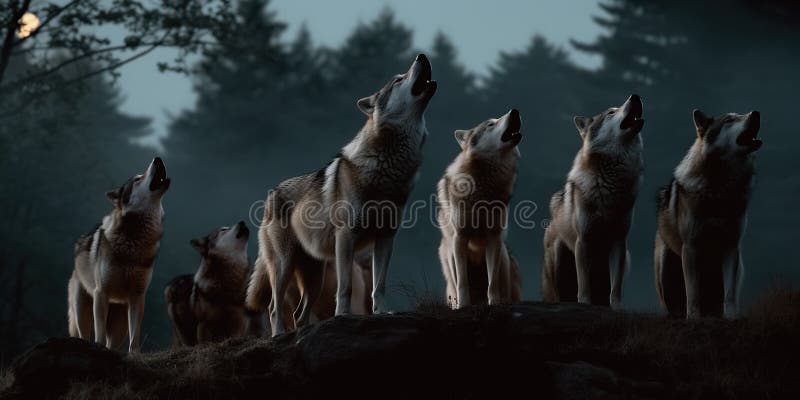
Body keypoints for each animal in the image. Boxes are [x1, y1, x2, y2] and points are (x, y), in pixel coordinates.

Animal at [68, 157, 170, 352]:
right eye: (137, 179)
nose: (157, 158)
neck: (133, 242)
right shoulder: (101, 293)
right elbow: (99, 335)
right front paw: (98, 348)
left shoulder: (138, 297)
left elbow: (135, 337)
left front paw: (134, 355)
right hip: (83, 313)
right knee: (84, 336)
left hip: (119, 328)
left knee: (113, 345)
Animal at [247, 54, 436, 335]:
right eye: (398, 79)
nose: (421, 56)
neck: (386, 168)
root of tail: (272, 192)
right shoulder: (346, 237)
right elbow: (345, 287)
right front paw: (342, 316)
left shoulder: (386, 238)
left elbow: (378, 285)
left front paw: (382, 312)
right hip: (283, 266)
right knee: (273, 307)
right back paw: (279, 334)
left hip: (314, 277)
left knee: (299, 314)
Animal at [437, 109, 523, 308]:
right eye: (491, 124)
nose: (515, 111)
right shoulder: (459, 238)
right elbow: (462, 282)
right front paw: (463, 305)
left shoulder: (493, 238)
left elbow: (492, 283)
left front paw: (494, 303)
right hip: (448, 255)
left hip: (503, 256)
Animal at [542, 95, 644, 309]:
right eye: (611, 112)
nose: (636, 96)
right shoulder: (583, 241)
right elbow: (584, 285)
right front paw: (585, 304)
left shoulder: (619, 242)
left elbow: (615, 289)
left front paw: (616, 308)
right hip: (558, 253)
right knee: (559, 294)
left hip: (627, 258)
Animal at [655, 110, 761, 319]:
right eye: (729, 120)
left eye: (739, 114)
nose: (756, 113)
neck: (720, 189)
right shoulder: (691, 247)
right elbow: (693, 293)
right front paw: (694, 318)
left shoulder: (731, 246)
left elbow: (729, 295)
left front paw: (731, 317)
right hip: (665, 263)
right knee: (675, 305)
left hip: (739, 267)